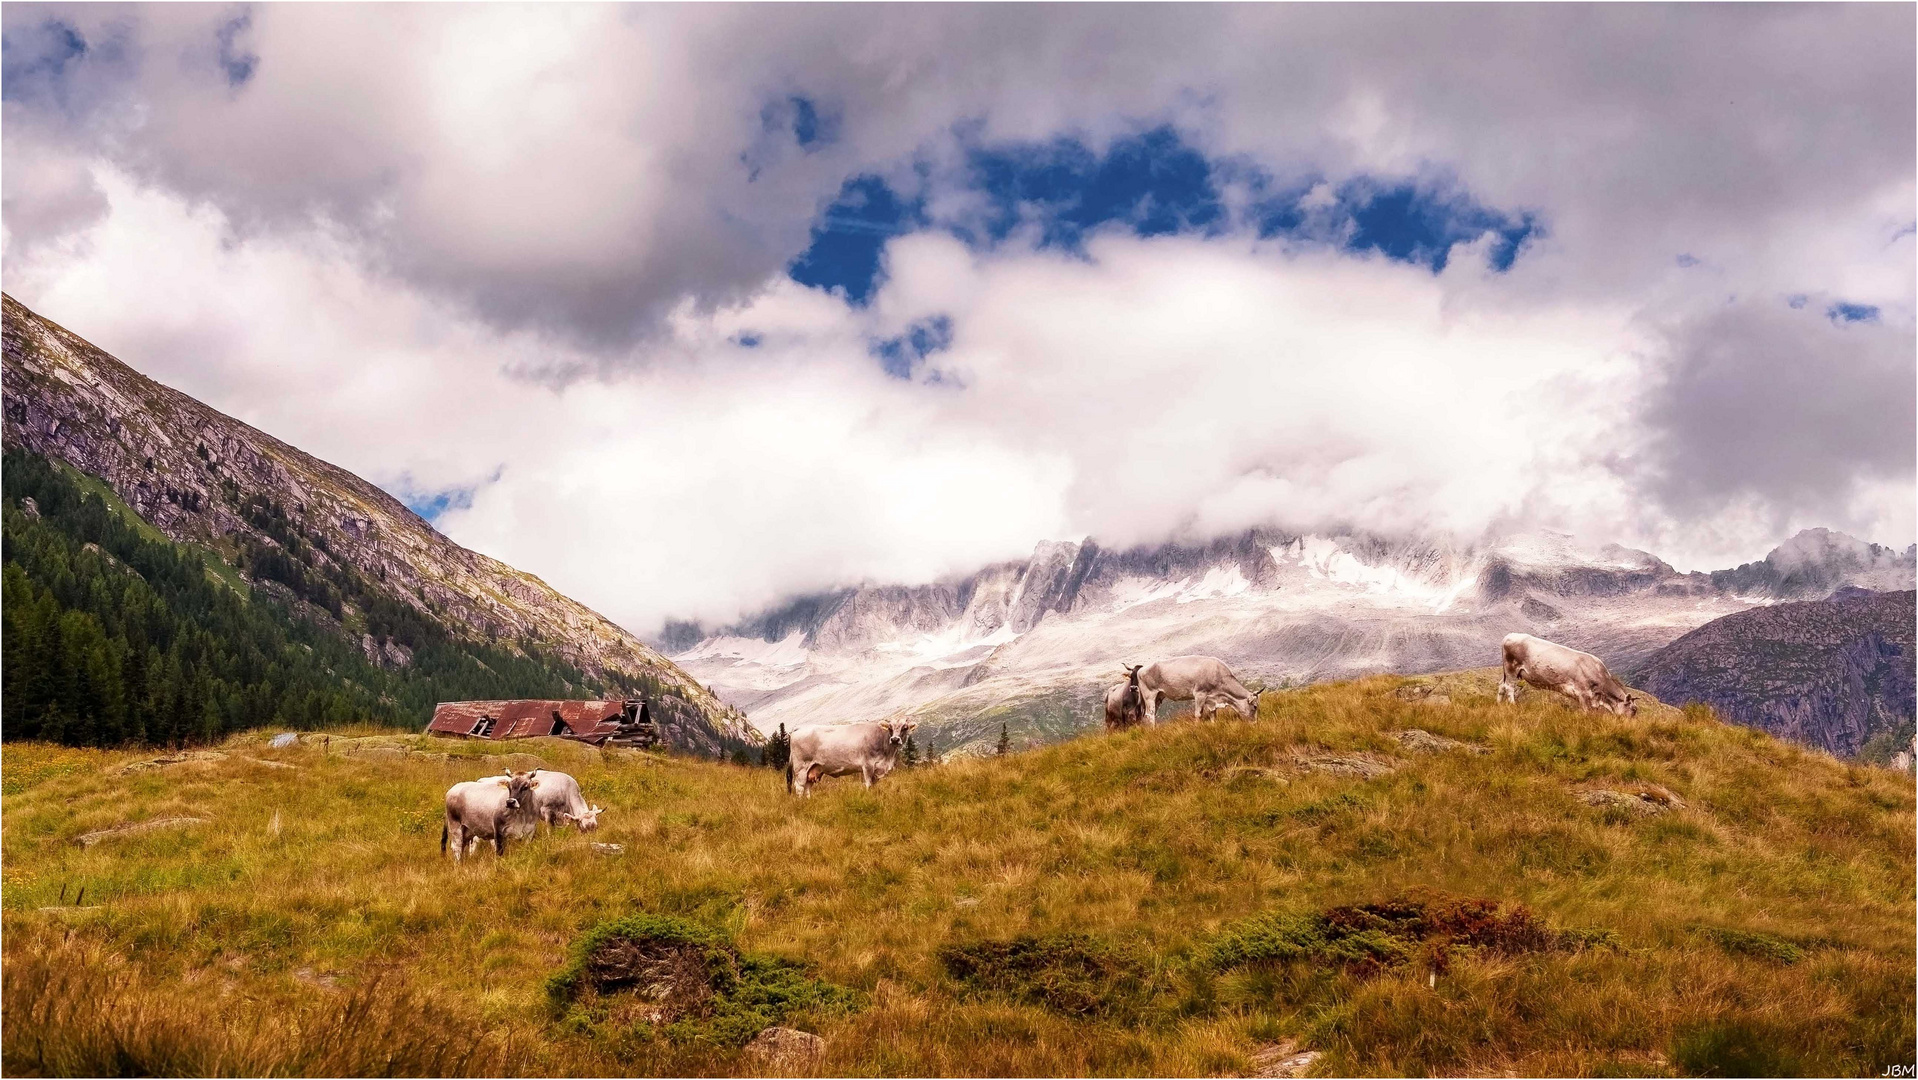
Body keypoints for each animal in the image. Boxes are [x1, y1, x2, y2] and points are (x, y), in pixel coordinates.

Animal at [786, 721, 920, 798]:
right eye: (890, 728)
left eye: (905, 728)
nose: (895, 739)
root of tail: (799, 728)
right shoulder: (867, 765)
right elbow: (869, 785)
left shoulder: (877, 770)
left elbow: (874, 786)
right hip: (801, 767)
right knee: (799, 787)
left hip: (812, 769)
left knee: (807, 787)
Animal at [1488, 633, 1641, 717]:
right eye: (1633, 709)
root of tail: (1510, 635)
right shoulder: (1583, 693)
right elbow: (1587, 712)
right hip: (1511, 668)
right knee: (1509, 687)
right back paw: (1513, 705)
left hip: (1507, 671)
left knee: (1501, 685)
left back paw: (1498, 704)